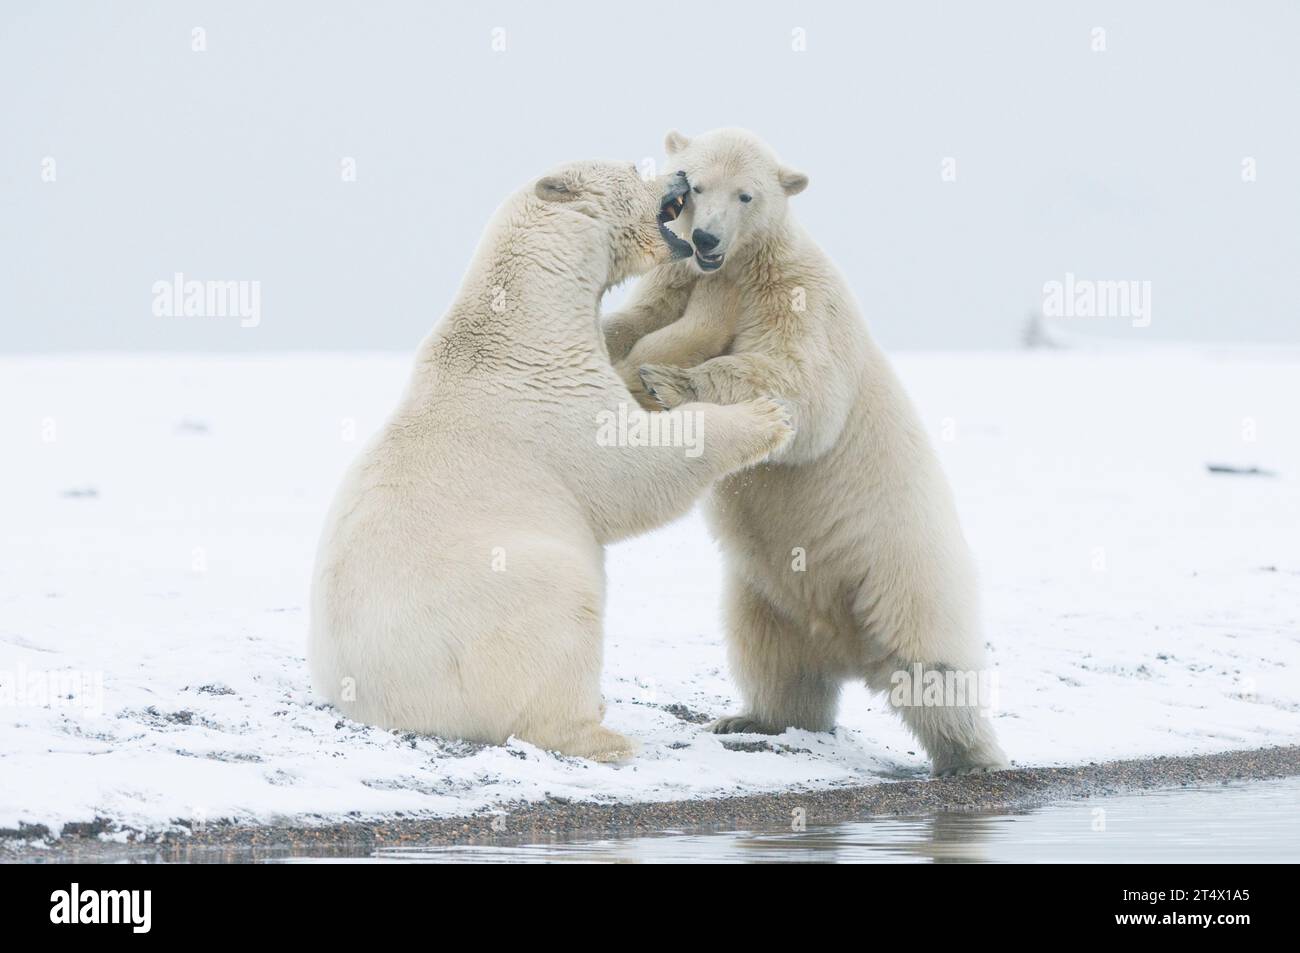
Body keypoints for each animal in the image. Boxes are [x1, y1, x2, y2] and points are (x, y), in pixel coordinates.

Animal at [308, 160, 795, 762]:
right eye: (634, 167)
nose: (681, 174)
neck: (524, 321)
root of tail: (380, 703)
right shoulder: (547, 397)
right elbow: (633, 467)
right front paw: (766, 415)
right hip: (502, 606)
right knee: (563, 617)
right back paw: (602, 733)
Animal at [602, 129, 1008, 775]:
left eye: (746, 194)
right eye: (694, 184)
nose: (705, 239)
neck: (742, 268)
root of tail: (849, 644)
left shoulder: (797, 296)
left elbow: (801, 385)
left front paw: (670, 381)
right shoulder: (674, 285)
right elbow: (633, 322)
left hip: (903, 569)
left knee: (932, 668)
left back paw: (972, 756)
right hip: (767, 595)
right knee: (773, 657)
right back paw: (751, 717)